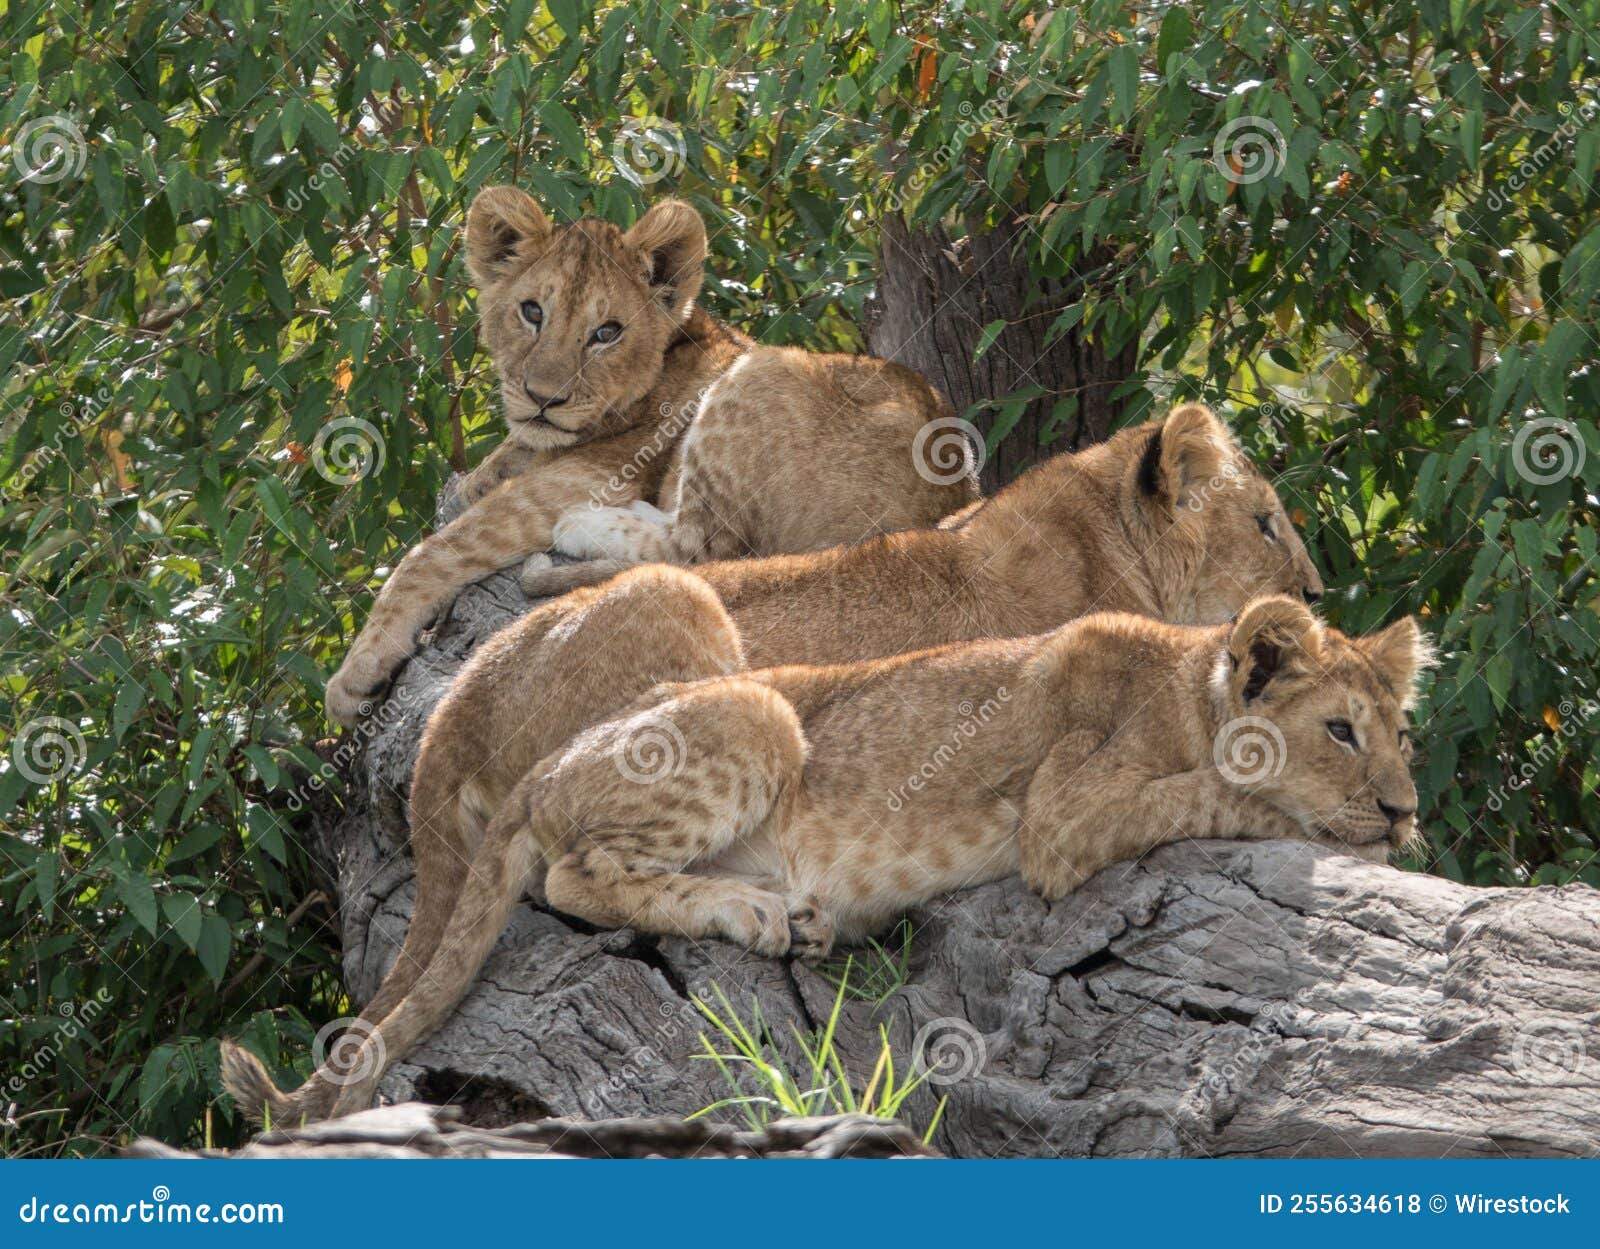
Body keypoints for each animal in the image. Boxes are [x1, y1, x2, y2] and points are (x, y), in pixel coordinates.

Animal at [222, 585, 1429, 1122]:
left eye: (1400, 732)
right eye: (1339, 730)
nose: (1406, 808)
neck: (1186, 683)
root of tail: (530, 760)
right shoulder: (1059, 819)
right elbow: (1221, 794)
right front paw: (1324, 820)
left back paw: (797, 914)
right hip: (755, 712)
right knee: (573, 873)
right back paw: (758, 917)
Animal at [325, 186, 977, 725]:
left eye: (606, 333)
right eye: (532, 311)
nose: (543, 398)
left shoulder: (599, 472)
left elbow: (434, 552)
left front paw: (355, 674)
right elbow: (498, 467)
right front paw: (481, 475)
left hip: (759, 375)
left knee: (697, 553)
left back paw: (586, 527)